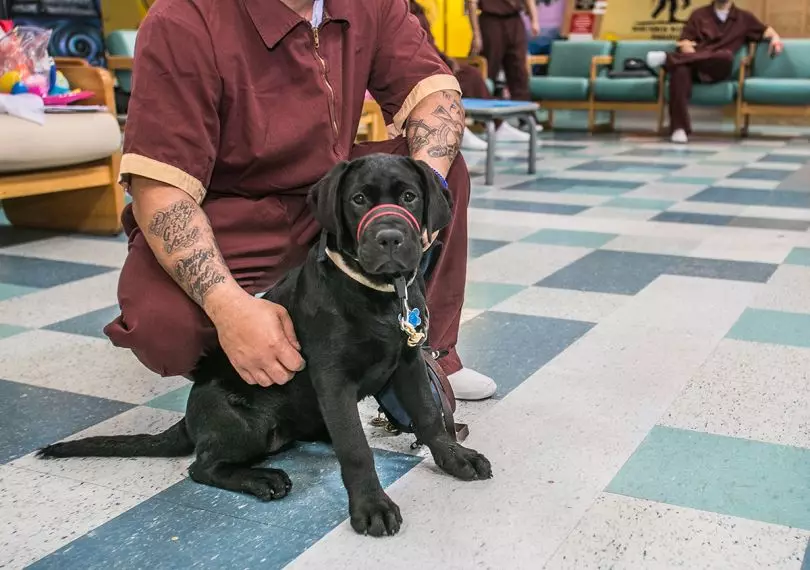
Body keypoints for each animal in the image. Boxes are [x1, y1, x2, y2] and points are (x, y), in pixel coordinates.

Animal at [39, 153, 492, 536]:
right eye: (359, 199)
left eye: (410, 197)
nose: (390, 238)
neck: (377, 293)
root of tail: (189, 419)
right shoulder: (333, 380)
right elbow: (356, 448)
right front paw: (371, 506)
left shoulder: (409, 362)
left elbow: (430, 416)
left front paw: (455, 458)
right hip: (246, 424)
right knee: (202, 466)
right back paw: (263, 478)